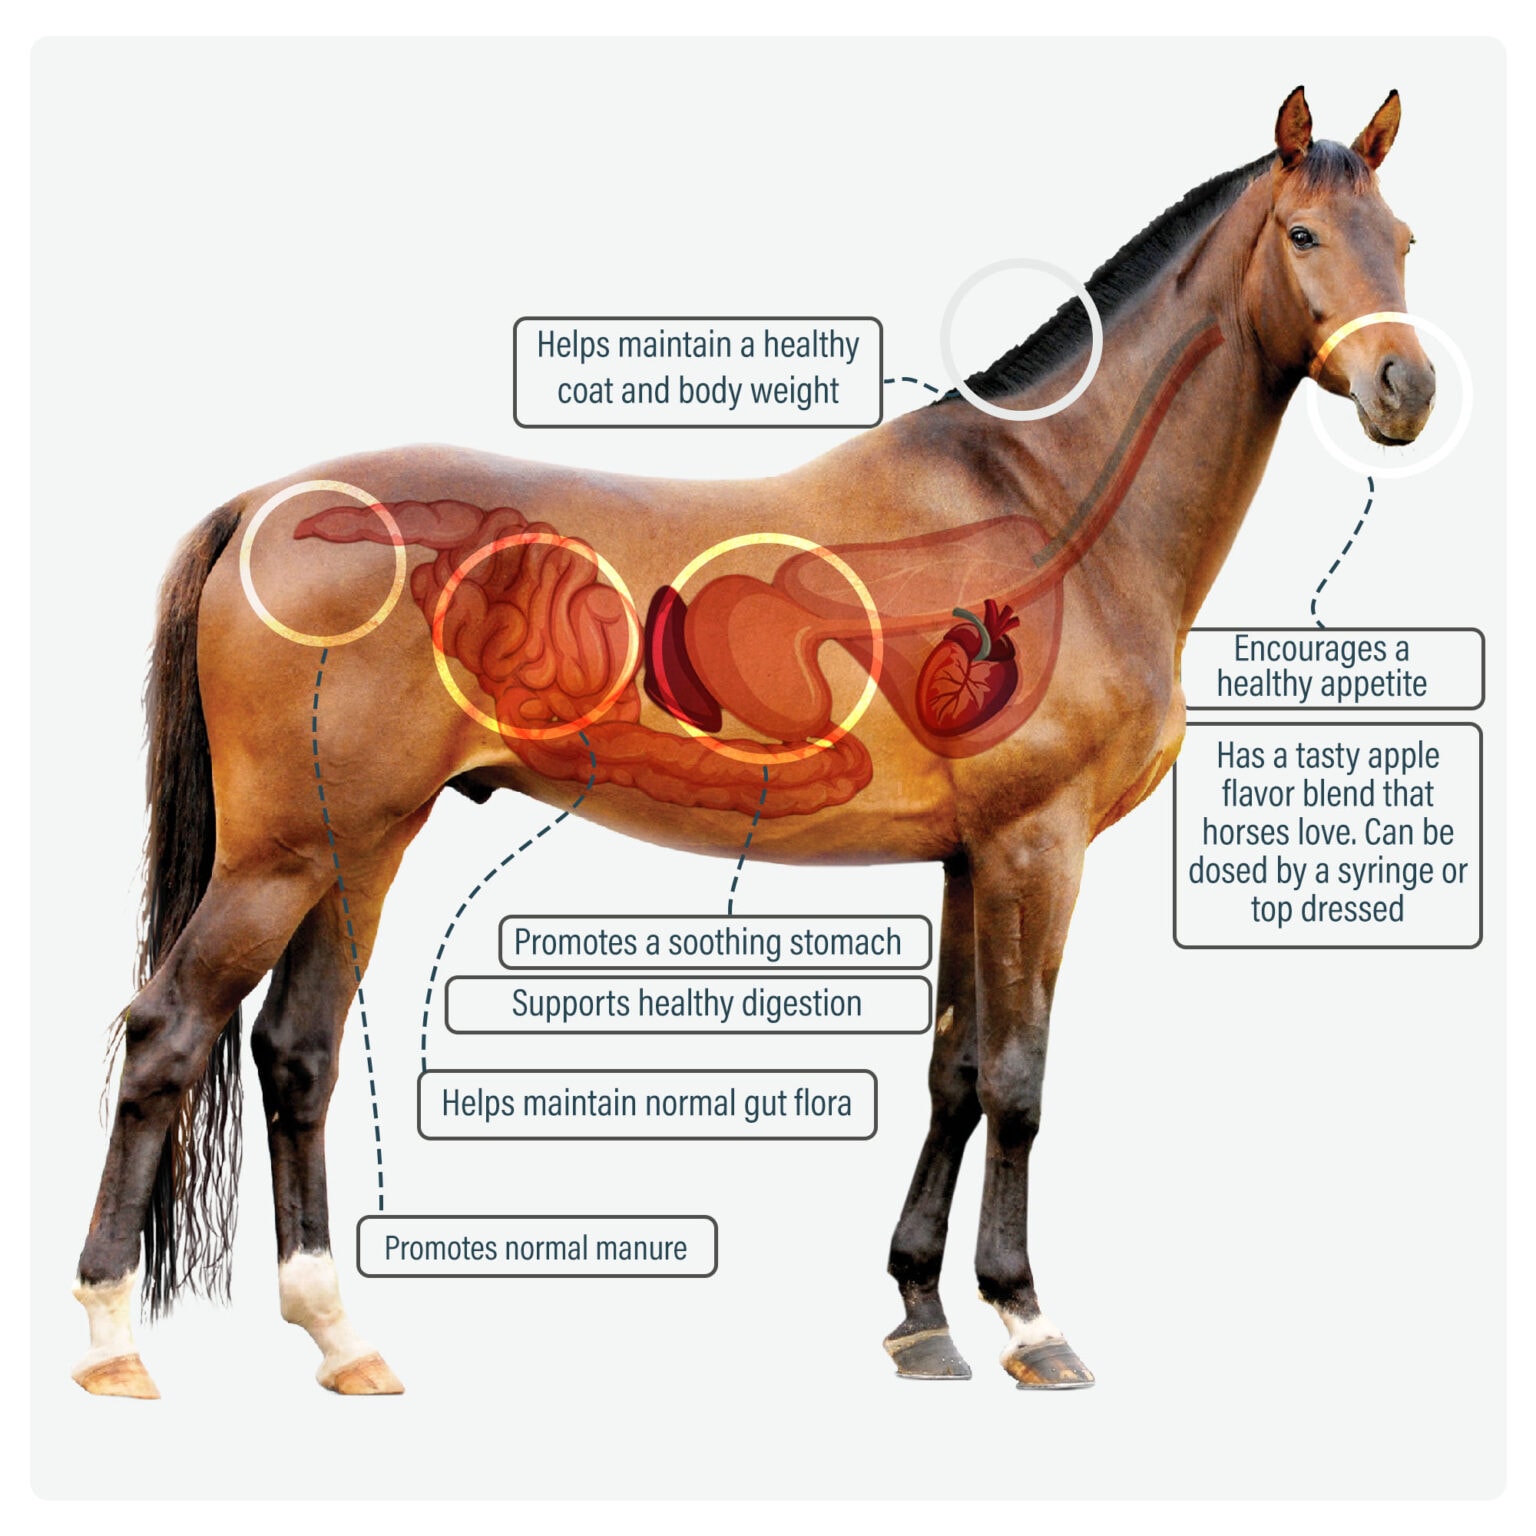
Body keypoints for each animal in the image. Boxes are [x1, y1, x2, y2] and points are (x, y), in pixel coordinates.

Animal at [71, 85, 1435, 1398]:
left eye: (1406, 239)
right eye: (1304, 235)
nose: (1406, 390)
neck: (1050, 507)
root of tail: (264, 506)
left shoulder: (968, 858)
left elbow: (952, 1076)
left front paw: (921, 1320)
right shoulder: (1037, 850)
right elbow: (1019, 1082)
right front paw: (1029, 1324)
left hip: (362, 839)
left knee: (293, 1055)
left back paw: (344, 1343)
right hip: (284, 855)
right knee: (169, 1033)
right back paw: (111, 1343)